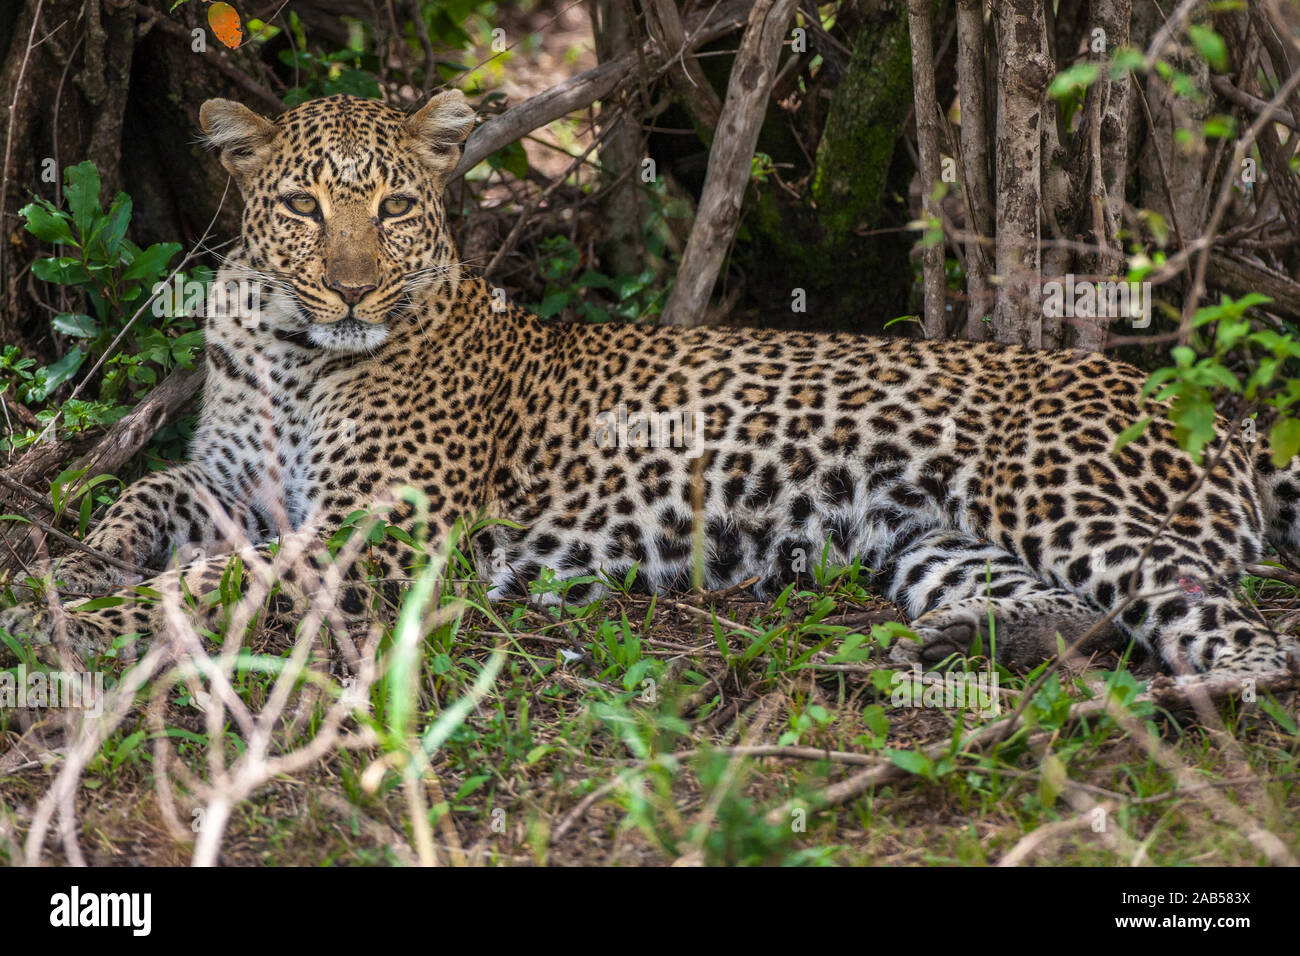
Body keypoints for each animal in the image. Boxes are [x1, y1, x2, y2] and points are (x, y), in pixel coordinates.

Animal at [3, 90, 1300, 683]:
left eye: (394, 206)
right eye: (301, 207)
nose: (355, 288)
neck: (287, 347)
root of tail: (1216, 413)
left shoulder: (385, 525)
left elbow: (212, 582)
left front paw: (60, 614)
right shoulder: (231, 481)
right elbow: (147, 503)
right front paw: (82, 562)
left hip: (1049, 489)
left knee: (1228, 628)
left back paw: (1198, 701)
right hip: (933, 532)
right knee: (1083, 611)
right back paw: (934, 647)